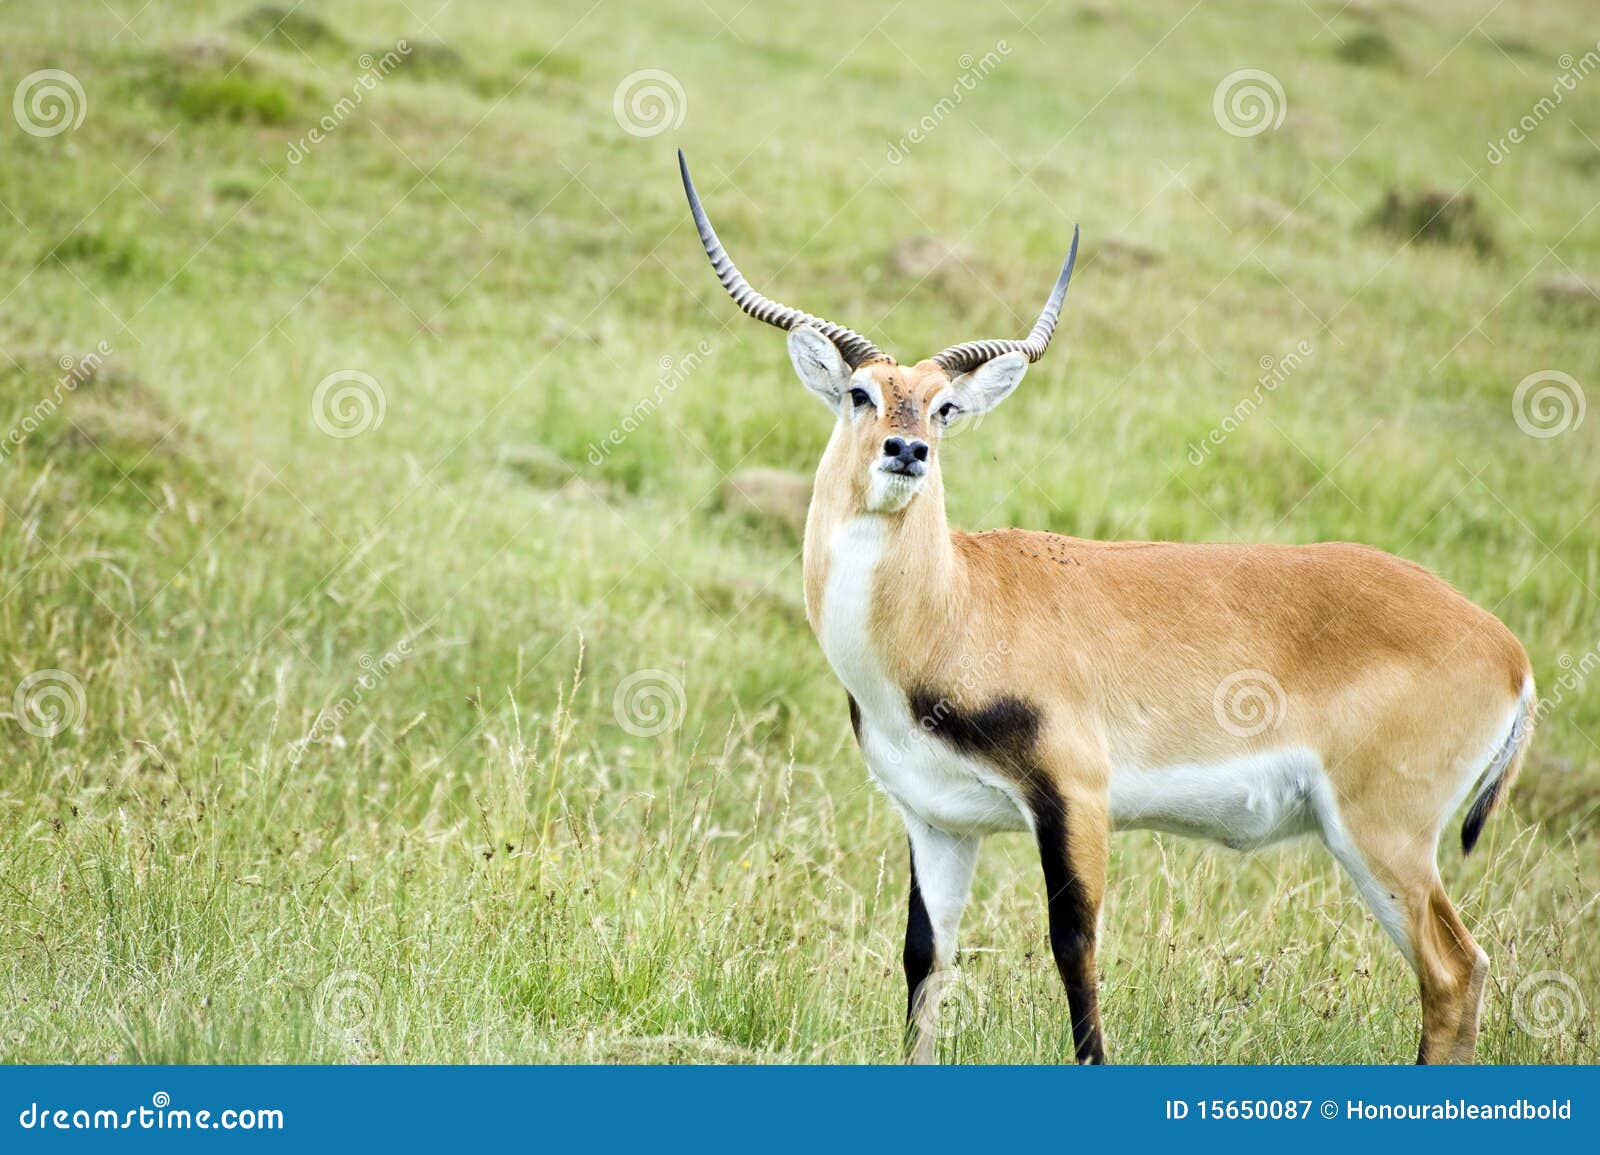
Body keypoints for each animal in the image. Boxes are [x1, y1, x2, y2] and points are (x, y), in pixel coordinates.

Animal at [679, 151, 1535, 1065]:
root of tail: (1509, 651)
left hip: (1383, 834)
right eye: (861, 395)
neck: (954, 608)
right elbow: (924, 957)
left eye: (944, 406)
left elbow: (1074, 950)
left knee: (1453, 969)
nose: (907, 451)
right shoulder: (939, 820)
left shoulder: (1075, 799)